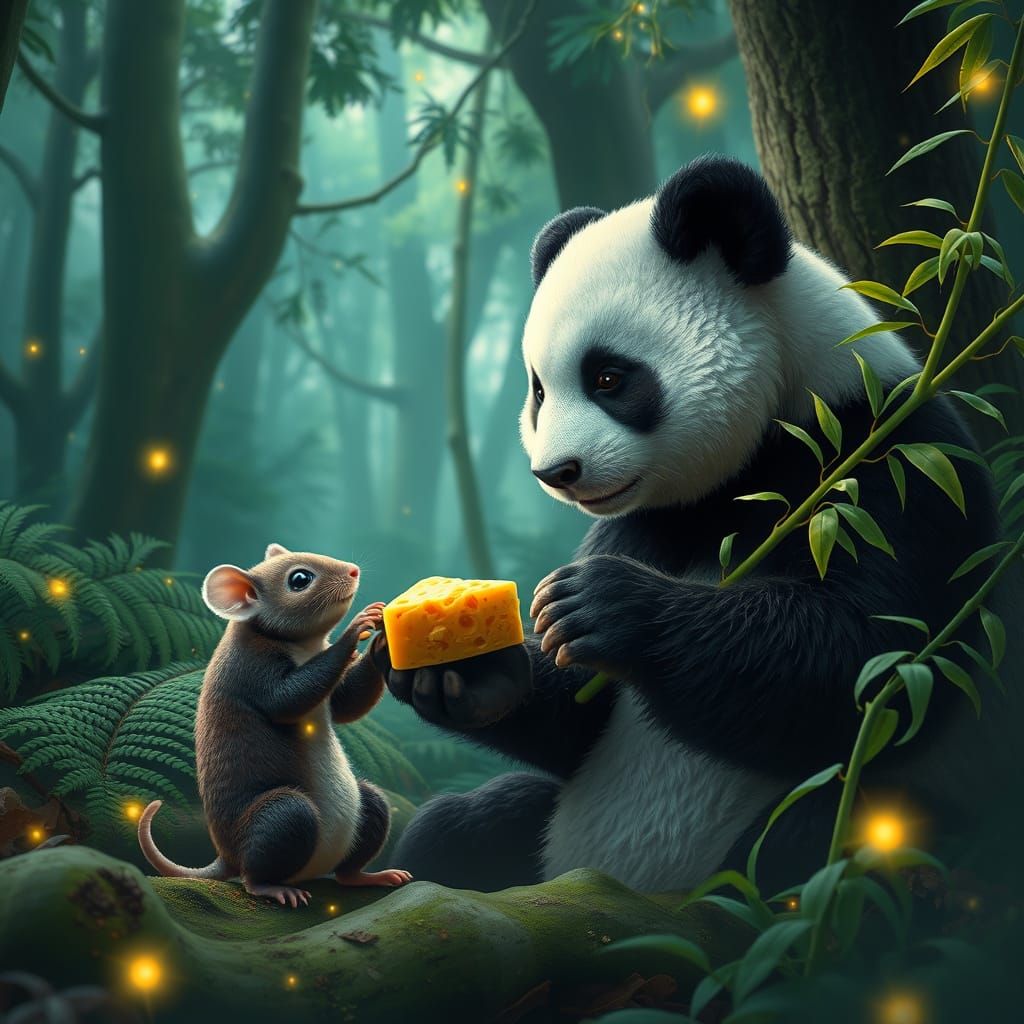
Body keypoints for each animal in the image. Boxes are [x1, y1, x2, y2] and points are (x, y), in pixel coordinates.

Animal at [377, 155, 1005, 895]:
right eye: (538, 390)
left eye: (609, 377)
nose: (556, 472)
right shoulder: (650, 520)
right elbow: (577, 719)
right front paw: (467, 668)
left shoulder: (895, 463)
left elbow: (872, 661)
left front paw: (603, 604)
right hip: (543, 838)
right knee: (461, 825)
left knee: (822, 846)